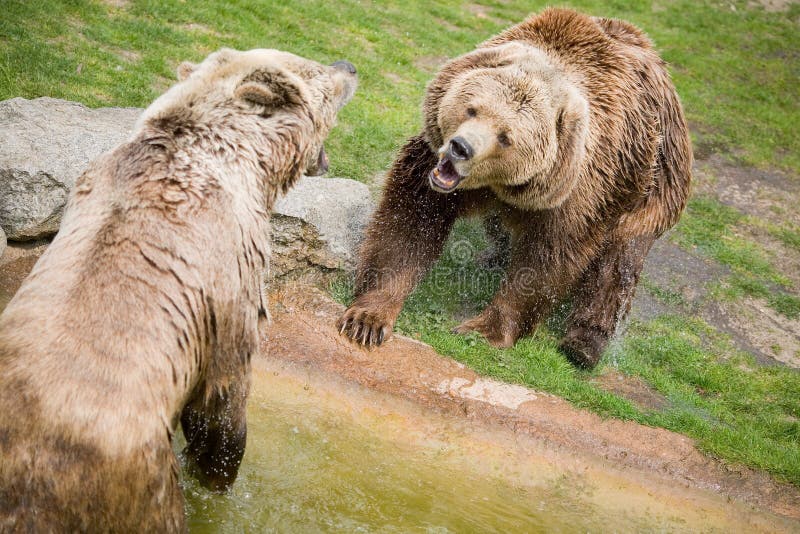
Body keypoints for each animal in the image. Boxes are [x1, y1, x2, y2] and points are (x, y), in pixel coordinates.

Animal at [0, 48, 356, 532]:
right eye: (319, 73)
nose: (349, 67)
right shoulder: (227, 273)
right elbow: (225, 392)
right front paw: (218, 473)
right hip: (132, 489)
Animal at [338, 8, 691, 369]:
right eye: (472, 108)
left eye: (505, 137)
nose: (461, 148)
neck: (499, 184)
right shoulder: (432, 169)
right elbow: (408, 224)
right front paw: (369, 318)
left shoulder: (577, 193)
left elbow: (546, 262)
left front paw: (484, 328)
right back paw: (493, 257)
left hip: (652, 184)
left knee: (618, 264)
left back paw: (584, 344)